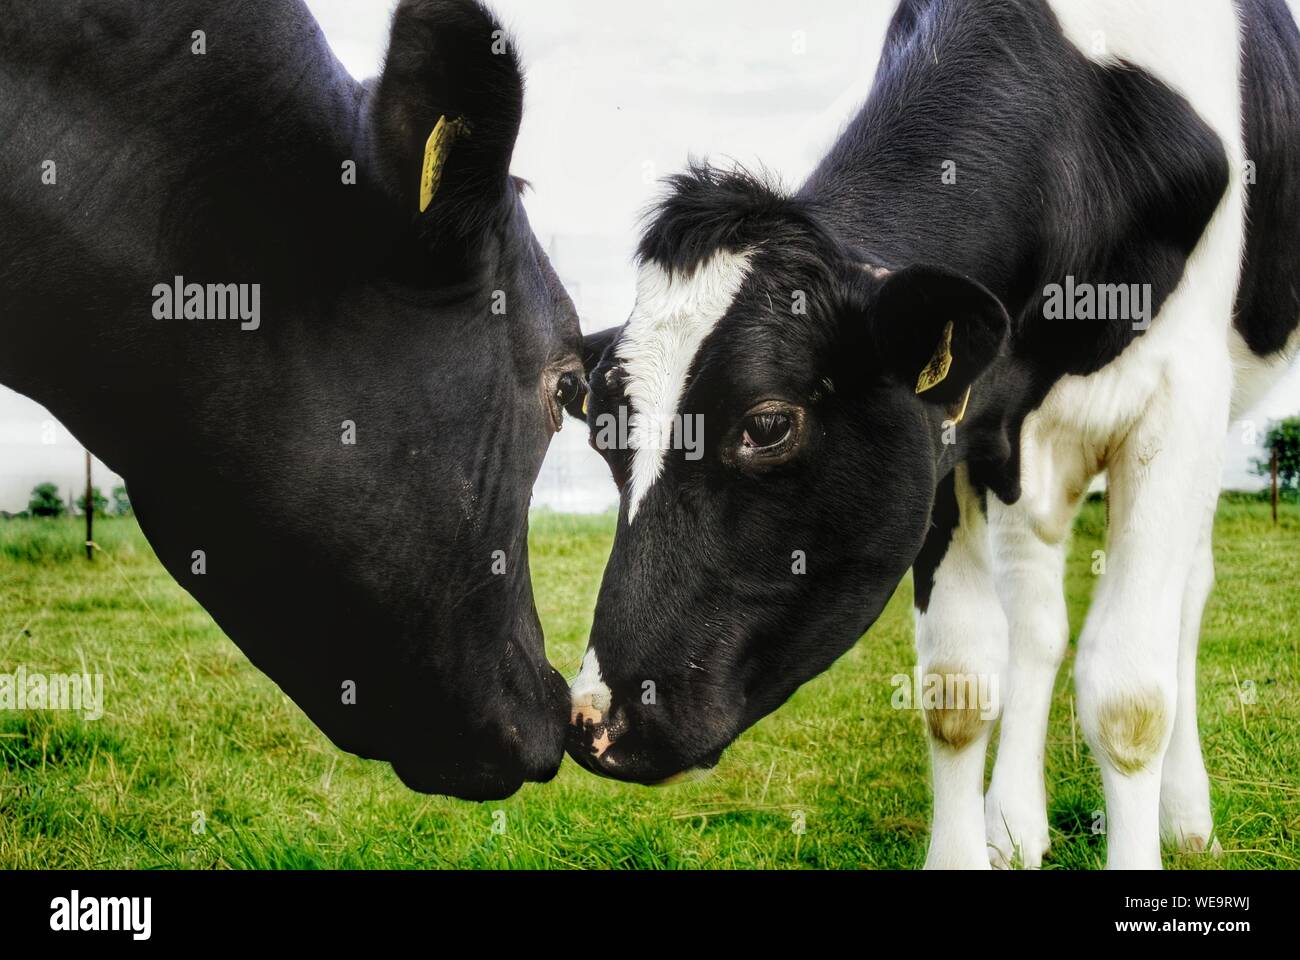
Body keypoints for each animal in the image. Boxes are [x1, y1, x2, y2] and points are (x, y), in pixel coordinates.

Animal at [568, 0, 1300, 867]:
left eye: (768, 424)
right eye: (602, 433)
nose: (595, 722)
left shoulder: (1179, 402)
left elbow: (1129, 699)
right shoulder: (946, 443)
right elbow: (959, 685)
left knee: (1184, 603)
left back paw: (1186, 818)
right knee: (1037, 626)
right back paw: (1014, 824)